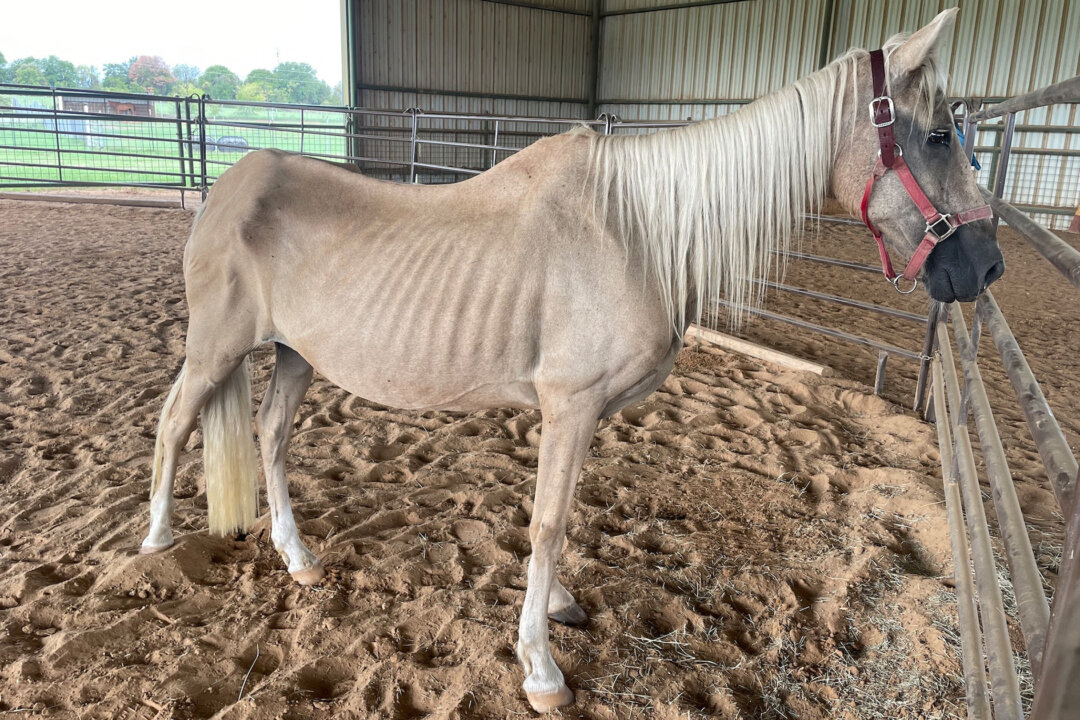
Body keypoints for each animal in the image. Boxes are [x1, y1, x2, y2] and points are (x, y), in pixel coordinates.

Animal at [139, 9, 1003, 712]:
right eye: (936, 135)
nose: (984, 268)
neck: (635, 230)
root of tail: (231, 185)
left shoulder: (580, 414)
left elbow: (563, 515)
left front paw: (556, 608)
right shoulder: (571, 403)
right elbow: (549, 523)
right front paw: (540, 668)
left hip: (294, 355)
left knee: (272, 436)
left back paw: (299, 559)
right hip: (216, 347)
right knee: (174, 425)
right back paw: (154, 547)